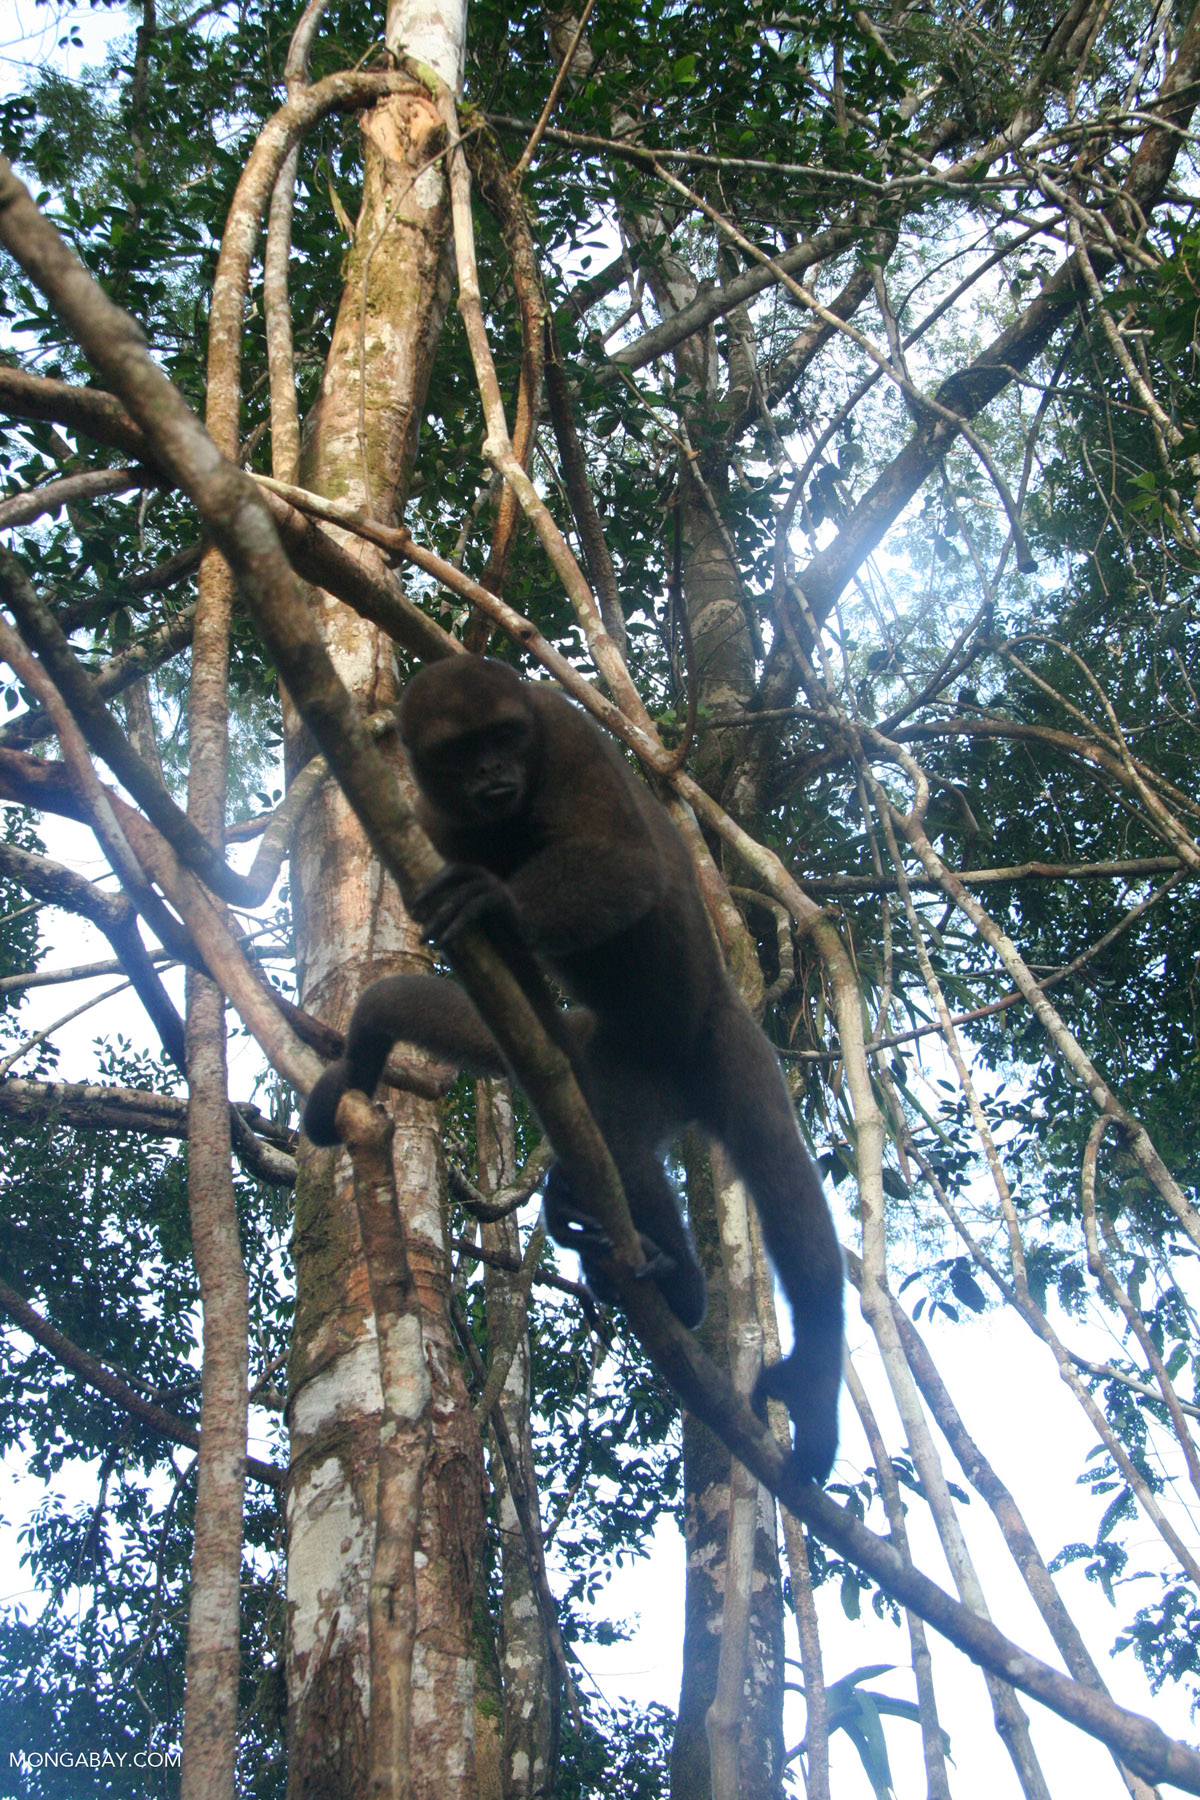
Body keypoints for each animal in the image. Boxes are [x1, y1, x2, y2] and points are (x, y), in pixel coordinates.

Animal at [303, 658, 844, 1485]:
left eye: (503, 737)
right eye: (460, 752)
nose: (493, 774)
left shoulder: (566, 736)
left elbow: (632, 864)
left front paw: (494, 896)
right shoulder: (433, 825)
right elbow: (513, 1002)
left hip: (726, 1044)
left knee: (780, 1174)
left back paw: (795, 1373)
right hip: (616, 1074)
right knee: (618, 1148)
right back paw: (666, 1274)